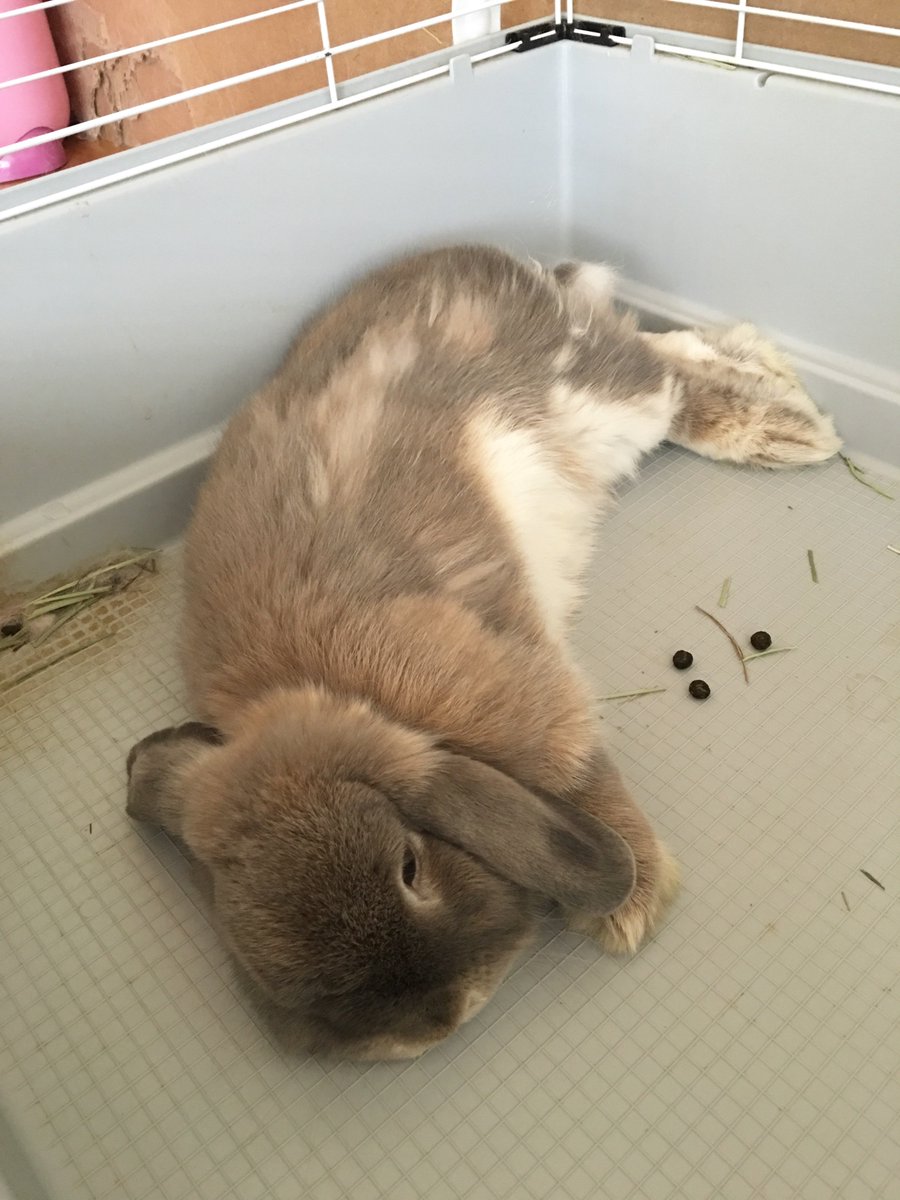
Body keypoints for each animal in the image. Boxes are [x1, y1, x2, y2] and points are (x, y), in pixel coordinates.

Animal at [126, 245, 841, 1060]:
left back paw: (795, 430)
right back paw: (776, 378)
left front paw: (633, 904)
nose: (438, 1023)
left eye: (410, 865)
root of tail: (494, 261)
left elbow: (578, 770)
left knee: (661, 369)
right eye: (304, 988)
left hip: (591, 395)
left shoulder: (512, 699)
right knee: (662, 342)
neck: (323, 689)